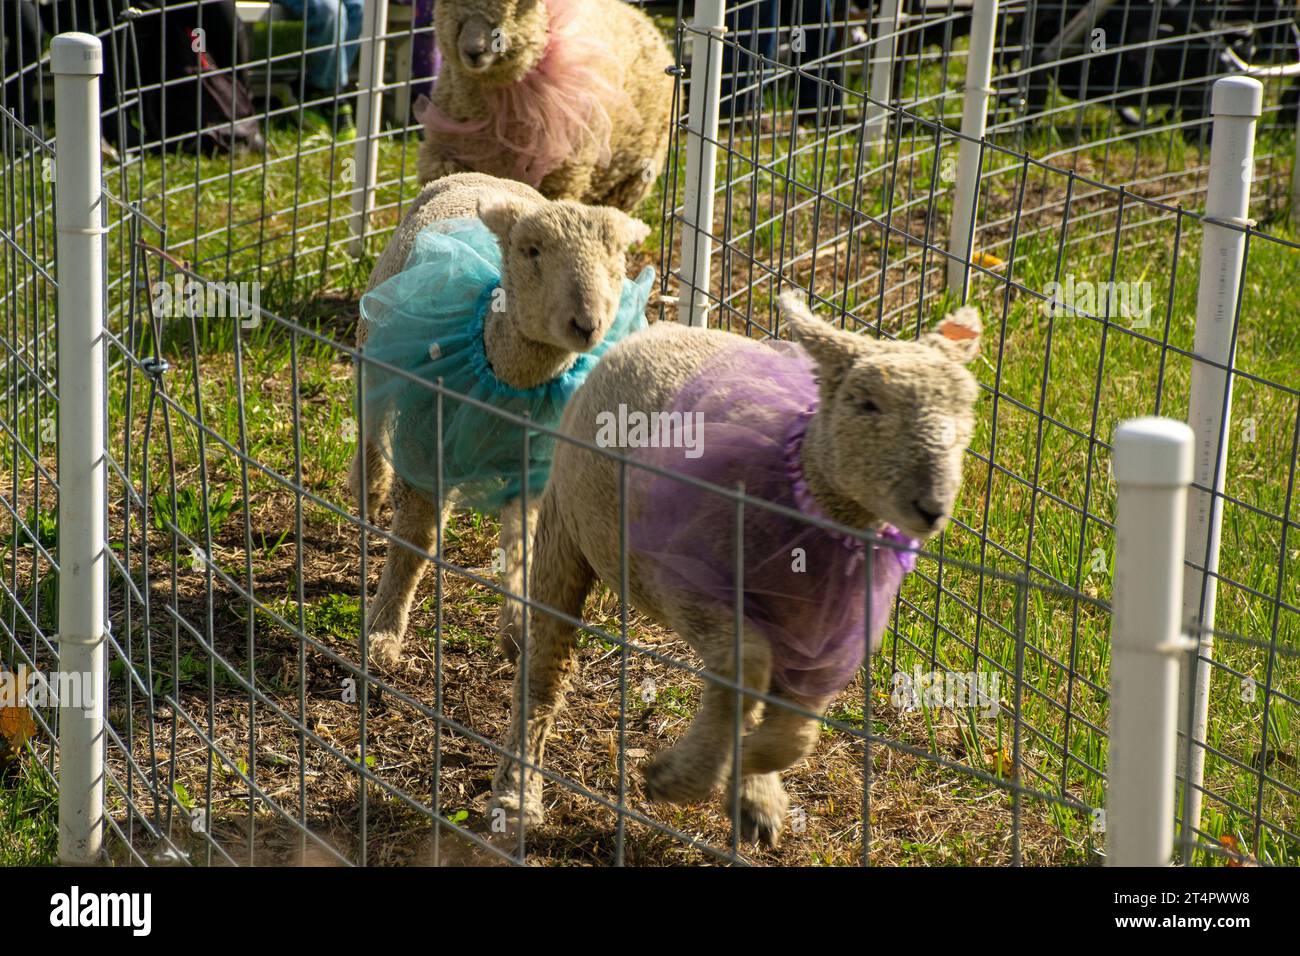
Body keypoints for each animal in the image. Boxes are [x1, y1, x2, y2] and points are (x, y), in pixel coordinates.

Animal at [349, 172, 653, 667]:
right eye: (531, 251)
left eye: (617, 256)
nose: (587, 323)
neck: (503, 379)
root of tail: (483, 176)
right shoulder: (426, 449)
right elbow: (414, 542)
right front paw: (383, 633)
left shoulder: (533, 467)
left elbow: (522, 545)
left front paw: (518, 633)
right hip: (373, 336)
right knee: (371, 412)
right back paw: (368, 488)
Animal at [413, 0, 673, 212]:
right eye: (447, 3)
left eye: (515, 5)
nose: (474, 51)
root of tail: (639, 14)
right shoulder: (444, 155)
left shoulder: (558, 179)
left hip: (634, 175)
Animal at [490, 292, 983, 846]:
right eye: (867, 403)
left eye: (965, 407)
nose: (932, 507)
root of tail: (656, 329)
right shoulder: (687, 588)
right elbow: (746, 665)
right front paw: (682, 776)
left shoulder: (816, 634)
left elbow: (796, 733)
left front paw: (748, 781)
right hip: (567, 530)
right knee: (545, 668)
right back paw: (516, 792)